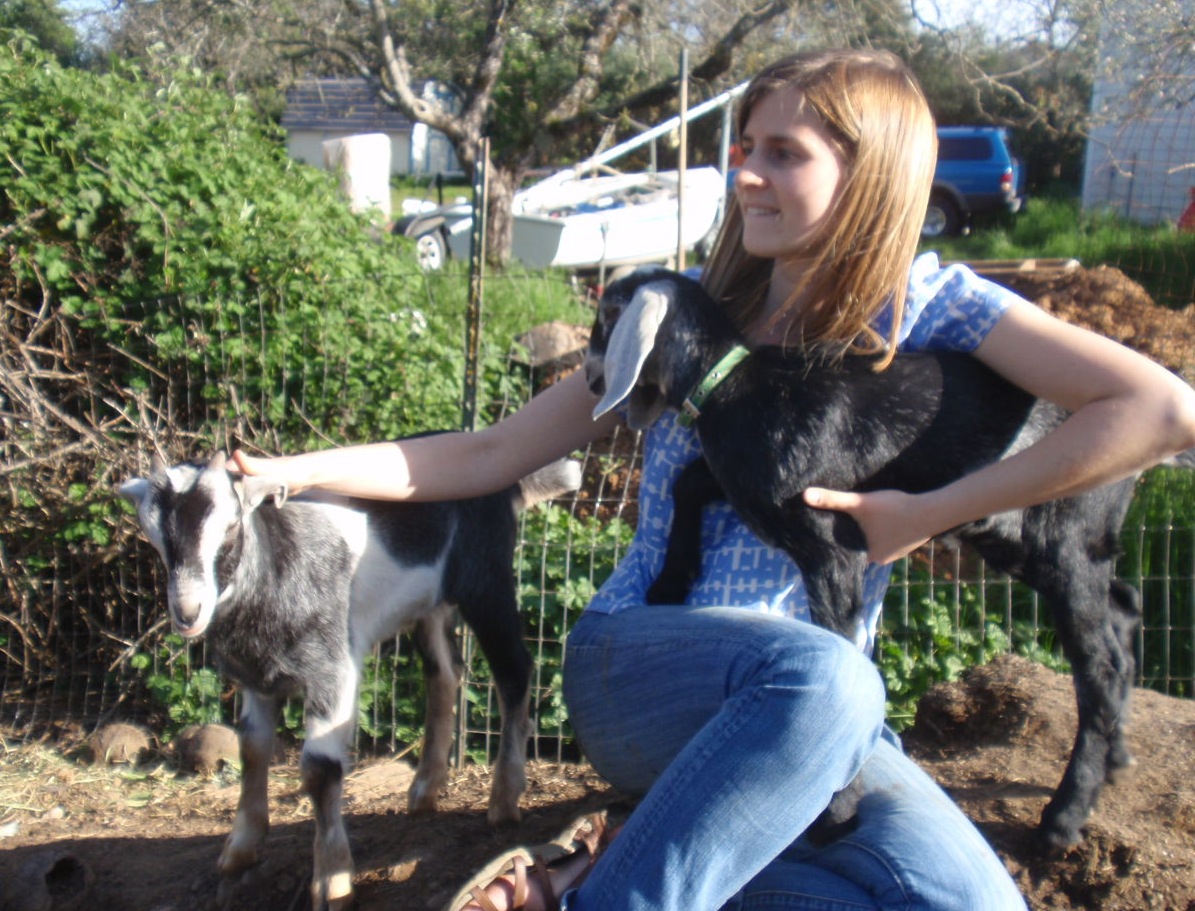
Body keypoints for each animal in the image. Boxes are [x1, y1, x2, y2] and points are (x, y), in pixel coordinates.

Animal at [119, 446, 581, 910]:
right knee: (445, 672)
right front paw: (240, 849)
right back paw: (424, 790)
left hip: (485, 580)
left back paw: (504, 799)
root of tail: (508, 488)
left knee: (514, 671)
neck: (275, 567)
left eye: (231, 525)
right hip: (430, 605)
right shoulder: (254, 679)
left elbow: (320, 770)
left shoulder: (333, 667)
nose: (188, 613)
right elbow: (252, 749)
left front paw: (333, 883)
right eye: (152, 536)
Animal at [584, 266, 1195, 849]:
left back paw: (1065, 816)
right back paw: (1117, 756)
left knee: (1100, 665)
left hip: (1065, 535)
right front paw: (670, 582)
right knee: (1123, 607)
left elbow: (845, 650)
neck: (732, 382)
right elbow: (688, 481)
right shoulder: (743, 481)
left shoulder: (833, 548)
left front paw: (837, 811)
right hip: (1019, 536)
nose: (590, 378)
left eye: (603, 320)